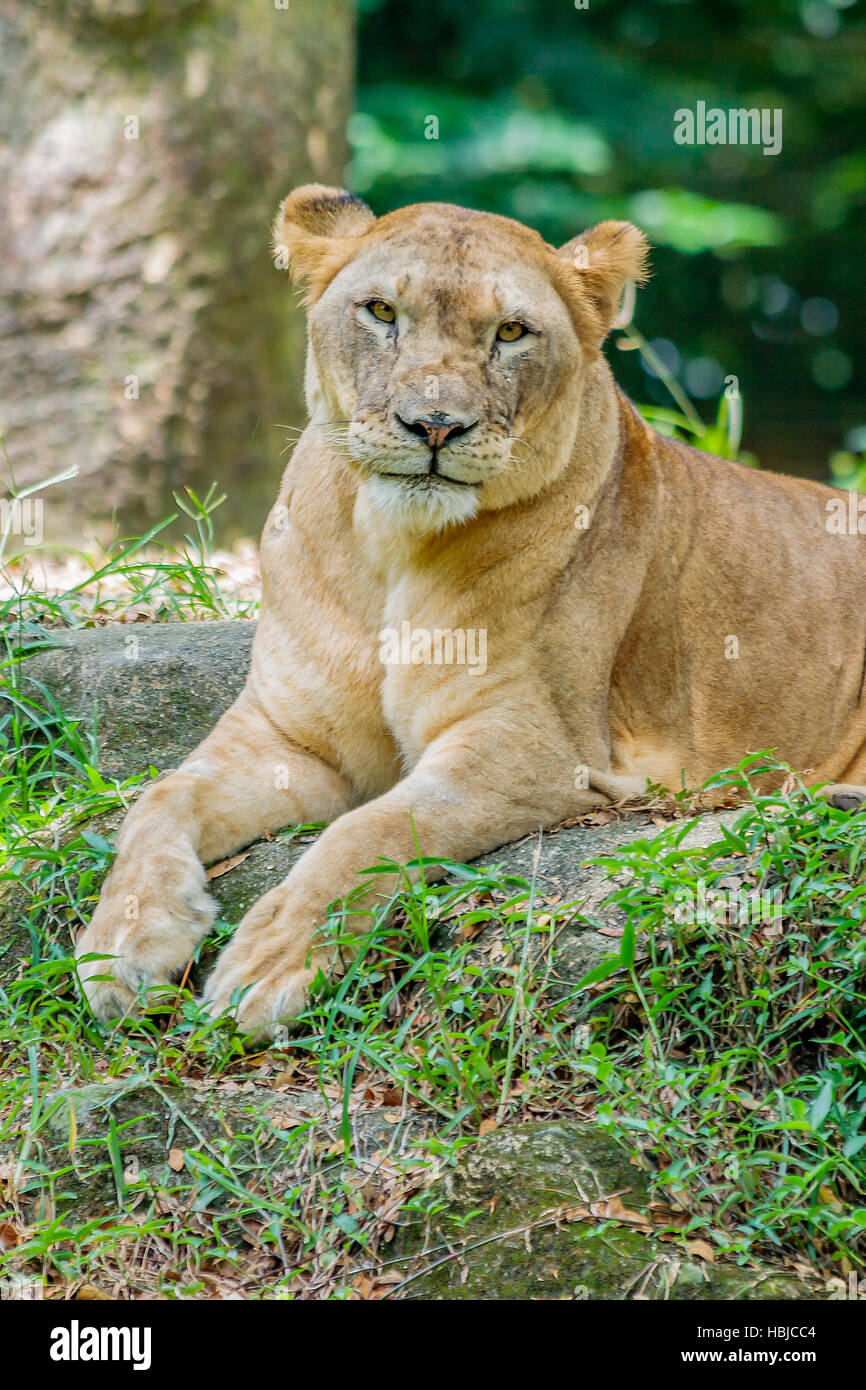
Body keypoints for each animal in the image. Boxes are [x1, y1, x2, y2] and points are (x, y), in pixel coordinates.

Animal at [76, 185, 866, 1039]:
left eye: (511, 332)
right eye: (381, 311)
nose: (435, 426)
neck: (388, 551)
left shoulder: (535, 747)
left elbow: (370, 830)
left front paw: (268, 965)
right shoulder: (290, 738)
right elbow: (158, 798)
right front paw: (121, 950)